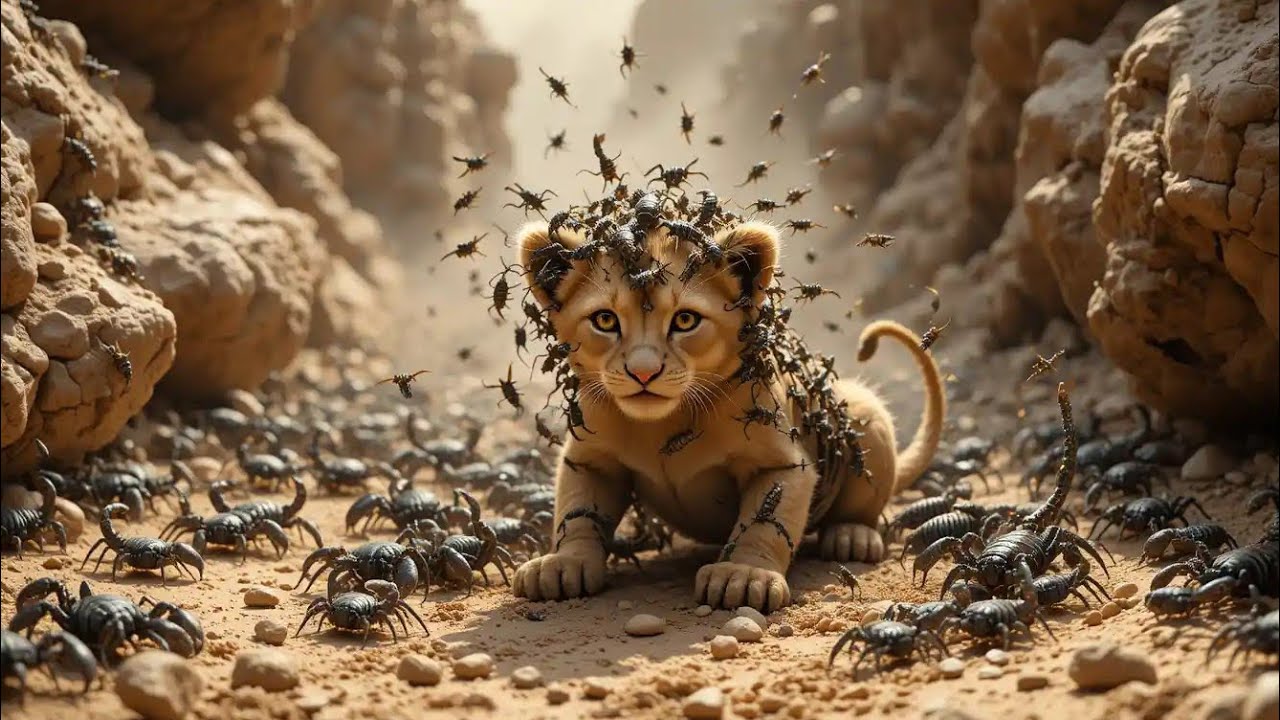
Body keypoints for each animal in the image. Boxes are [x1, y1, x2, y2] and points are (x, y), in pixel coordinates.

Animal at [510, 219, 944, 612]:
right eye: (605, 320)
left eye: (685, 320)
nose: (644, 373)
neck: (664, 425)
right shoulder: (589, 460)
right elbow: (577, 512)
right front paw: (562, 565)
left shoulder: (785, 464)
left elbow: (764, 523)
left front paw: (744, 576)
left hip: (865, 416)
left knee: (861, 506)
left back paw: (851, 536)